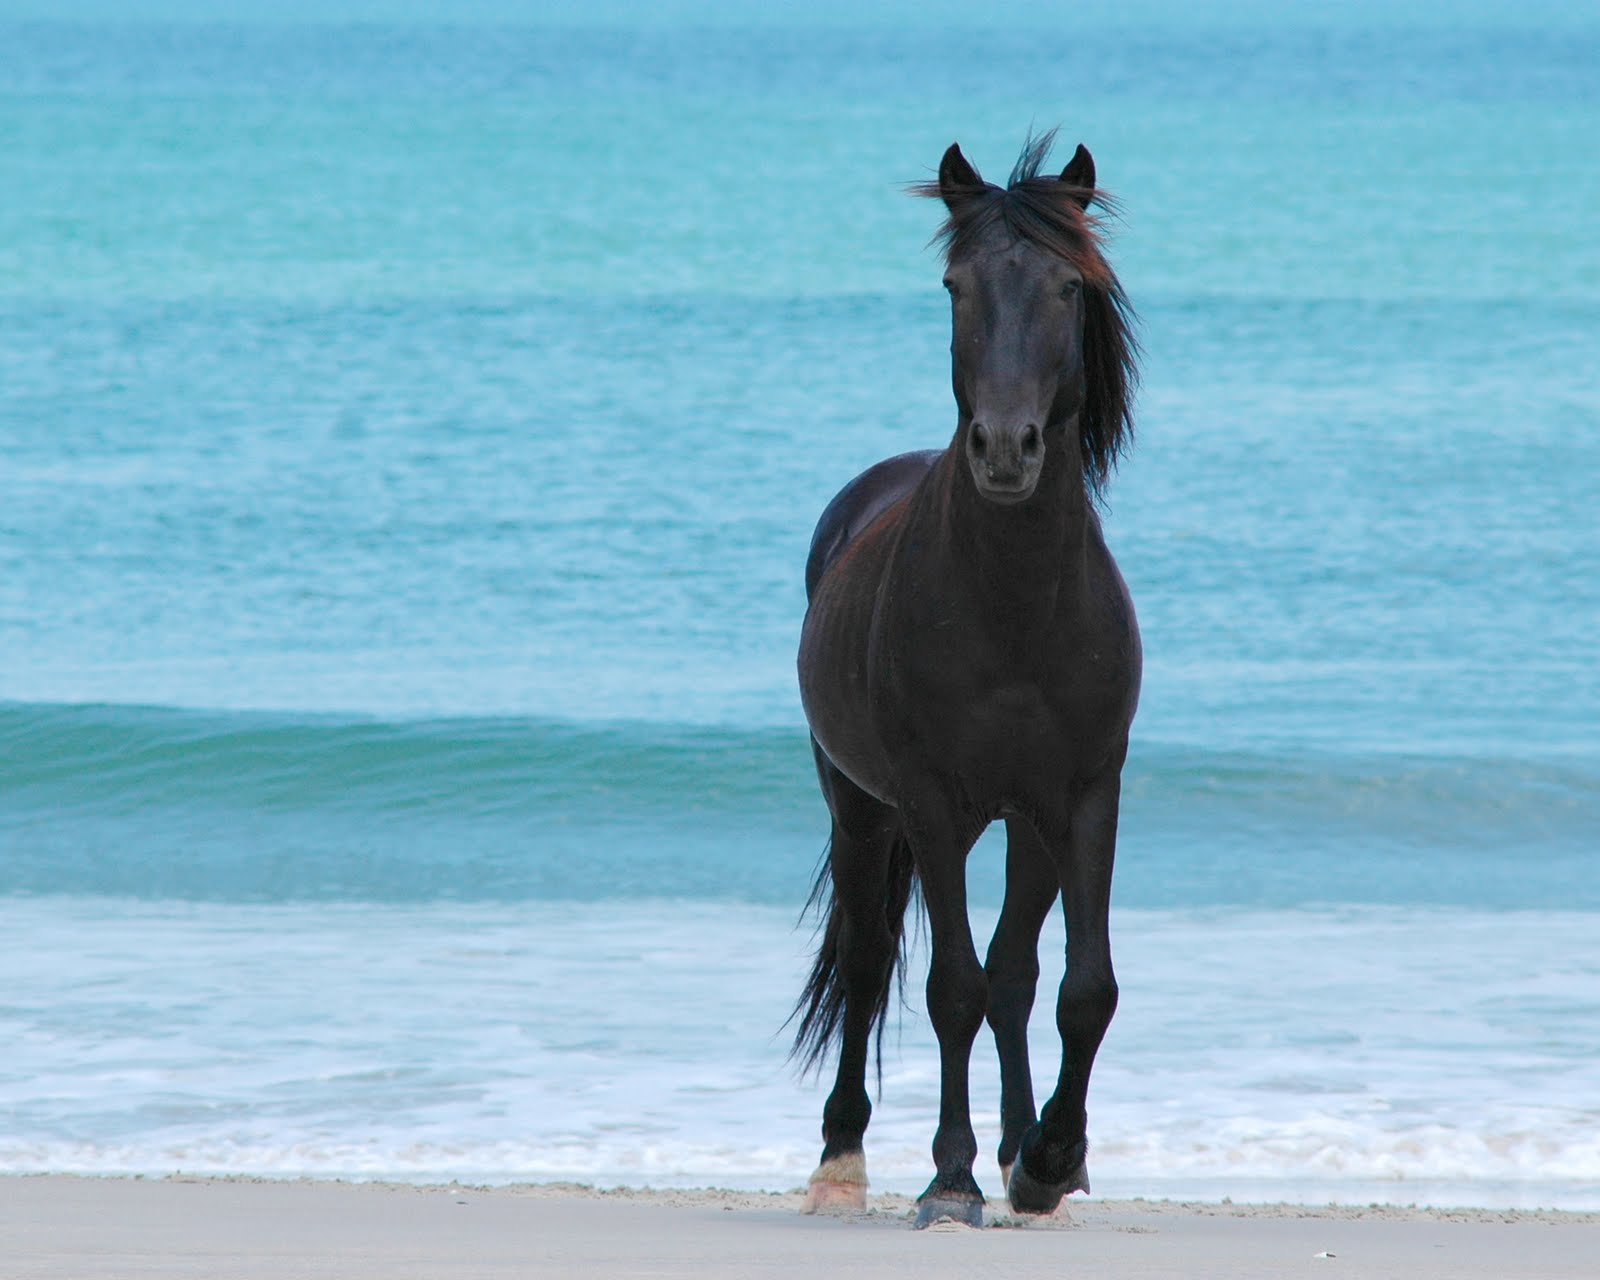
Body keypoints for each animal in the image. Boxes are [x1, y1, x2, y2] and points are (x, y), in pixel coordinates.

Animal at [792, 132, 1141, 1229]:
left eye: (1069, 286)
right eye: (956, 285)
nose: (1003, 447)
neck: (1018, 611)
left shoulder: (1084, 796)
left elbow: (1082, 988)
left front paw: (1047, 1158)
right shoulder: (932, 803)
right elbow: (949, 986)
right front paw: (950, 1179)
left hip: (1023, 825)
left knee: (1018, 976)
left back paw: (1032, 1151)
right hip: (860, 808)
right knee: (870, 965)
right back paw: (841, 1158)